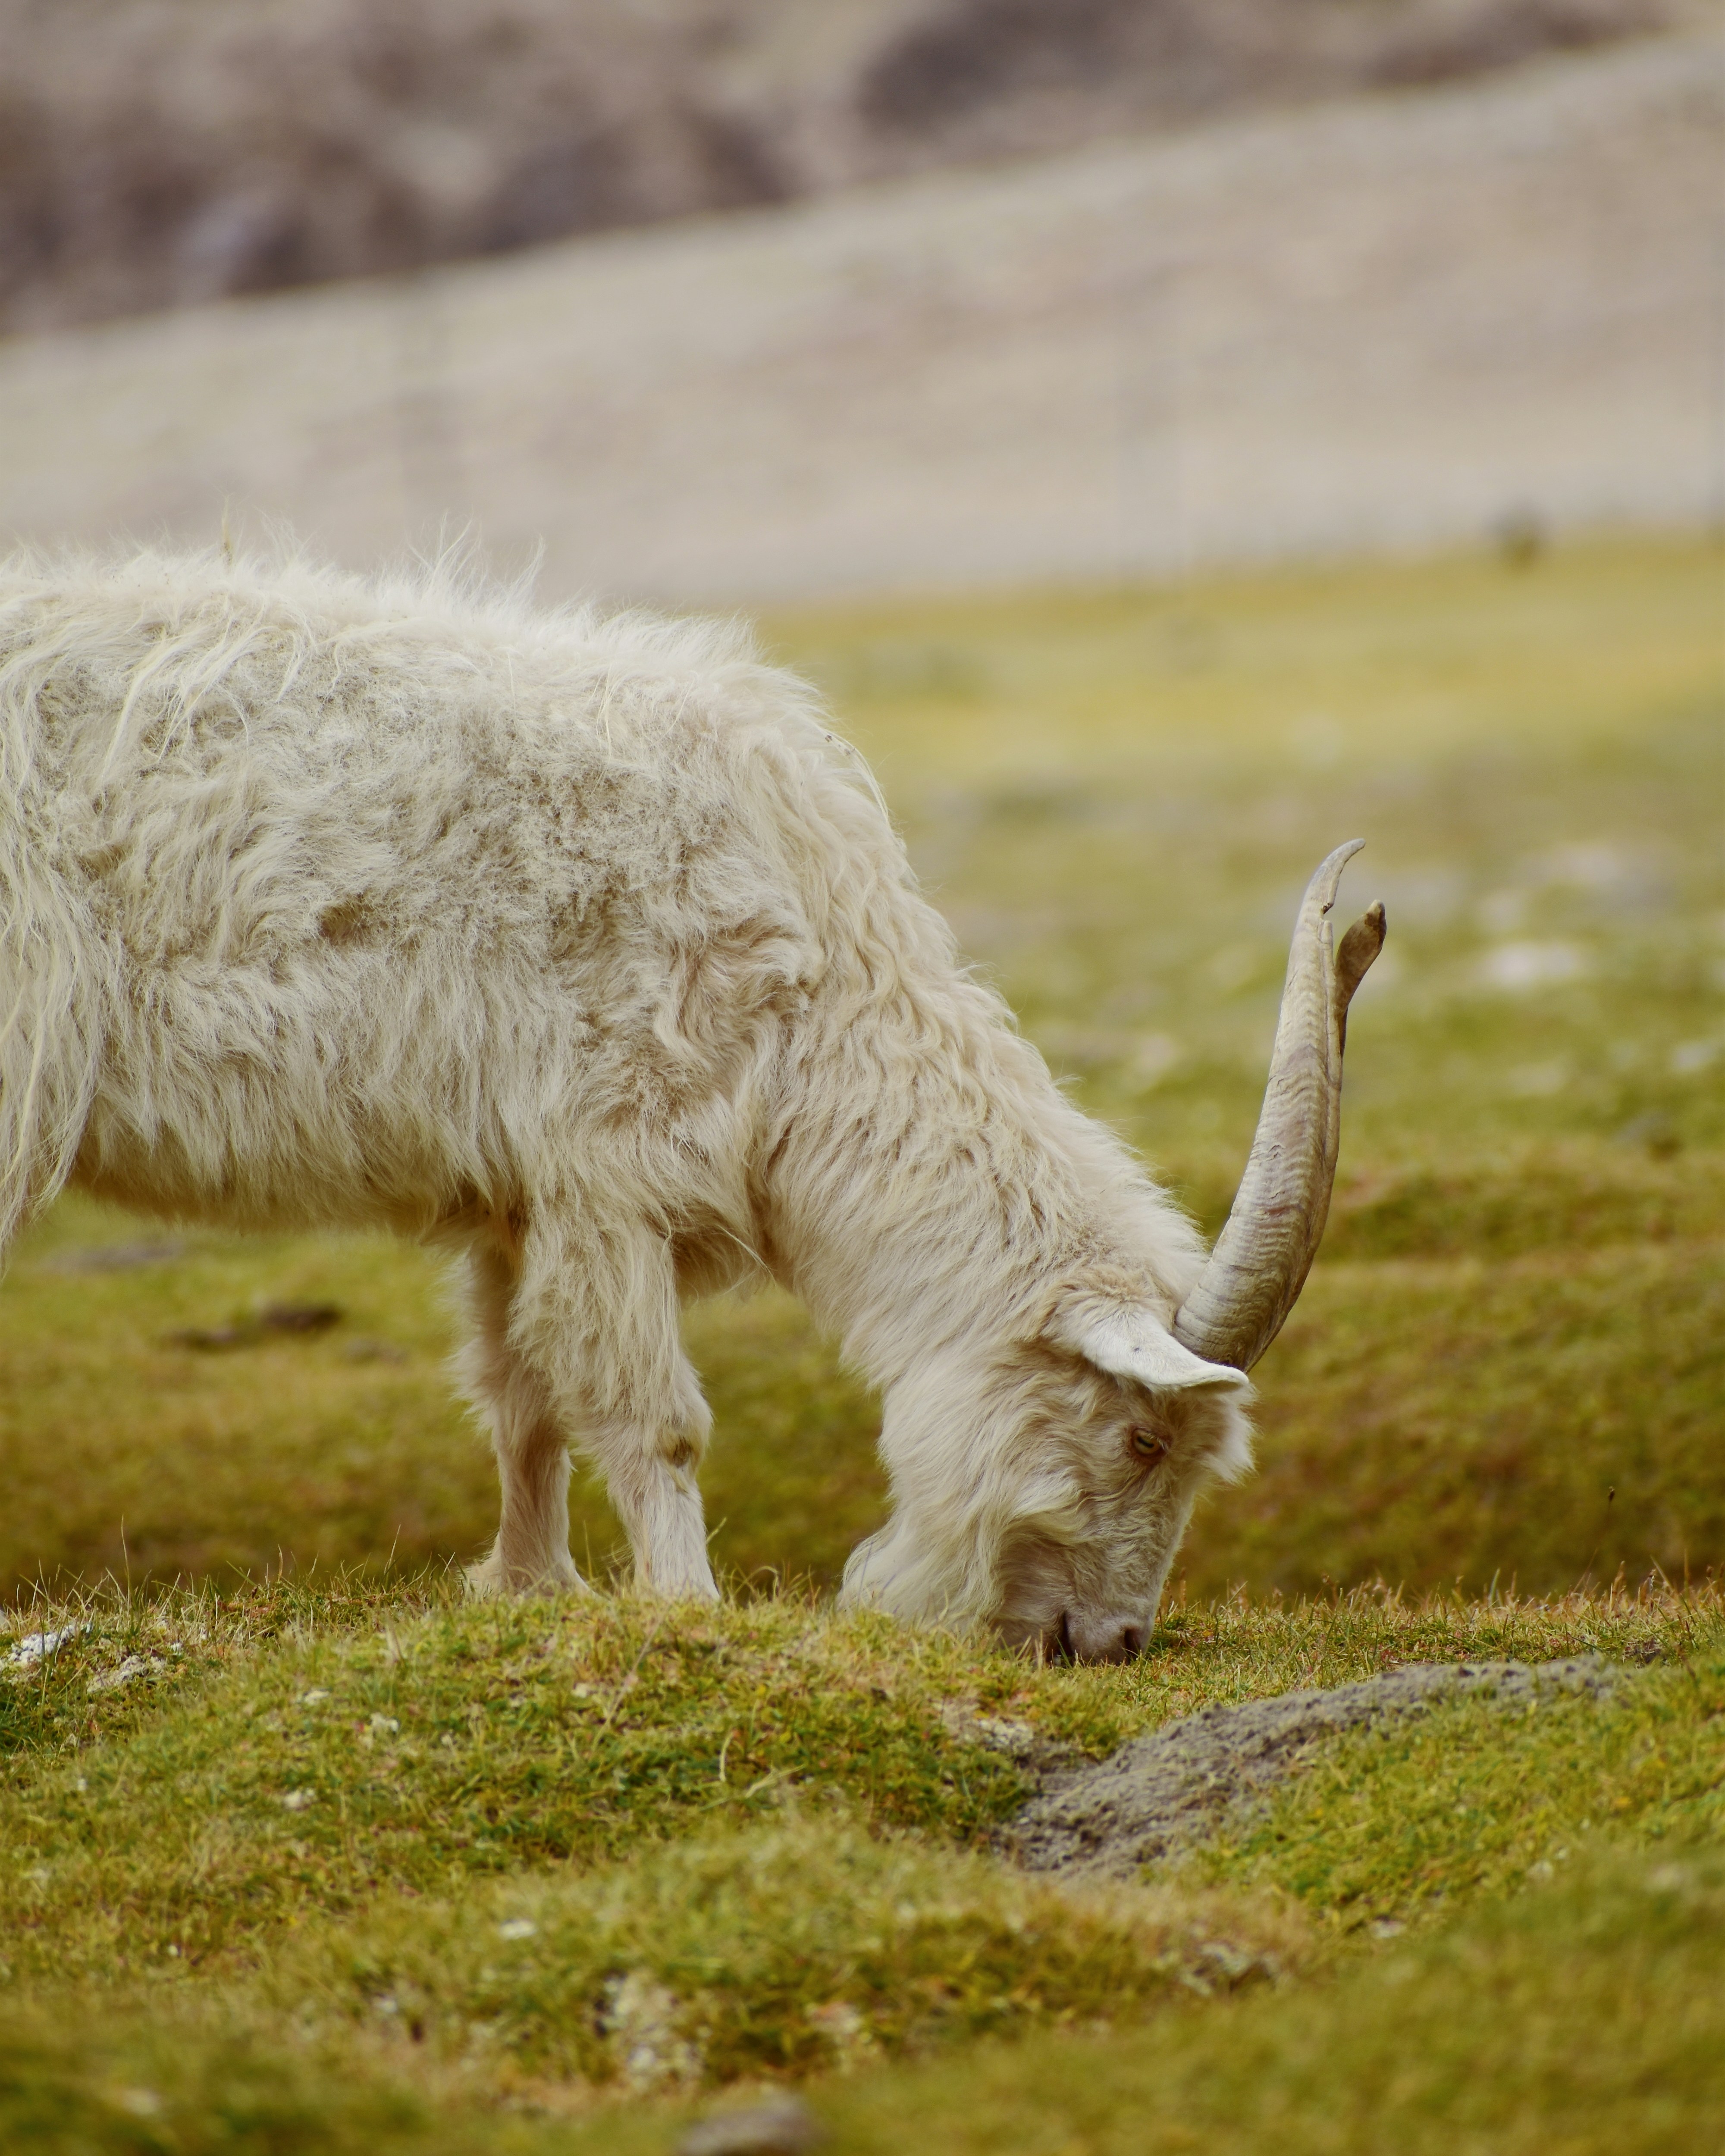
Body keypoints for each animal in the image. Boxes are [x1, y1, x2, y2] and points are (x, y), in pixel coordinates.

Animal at [0, 543, 1382, 1660]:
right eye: (1142, 1439)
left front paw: (532, 1589)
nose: (1107, 1642)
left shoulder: (522, 1193)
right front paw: (688, 1609)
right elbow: (649, 1418)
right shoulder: (609, 1165)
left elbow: (521, 1400)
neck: (816, 971)